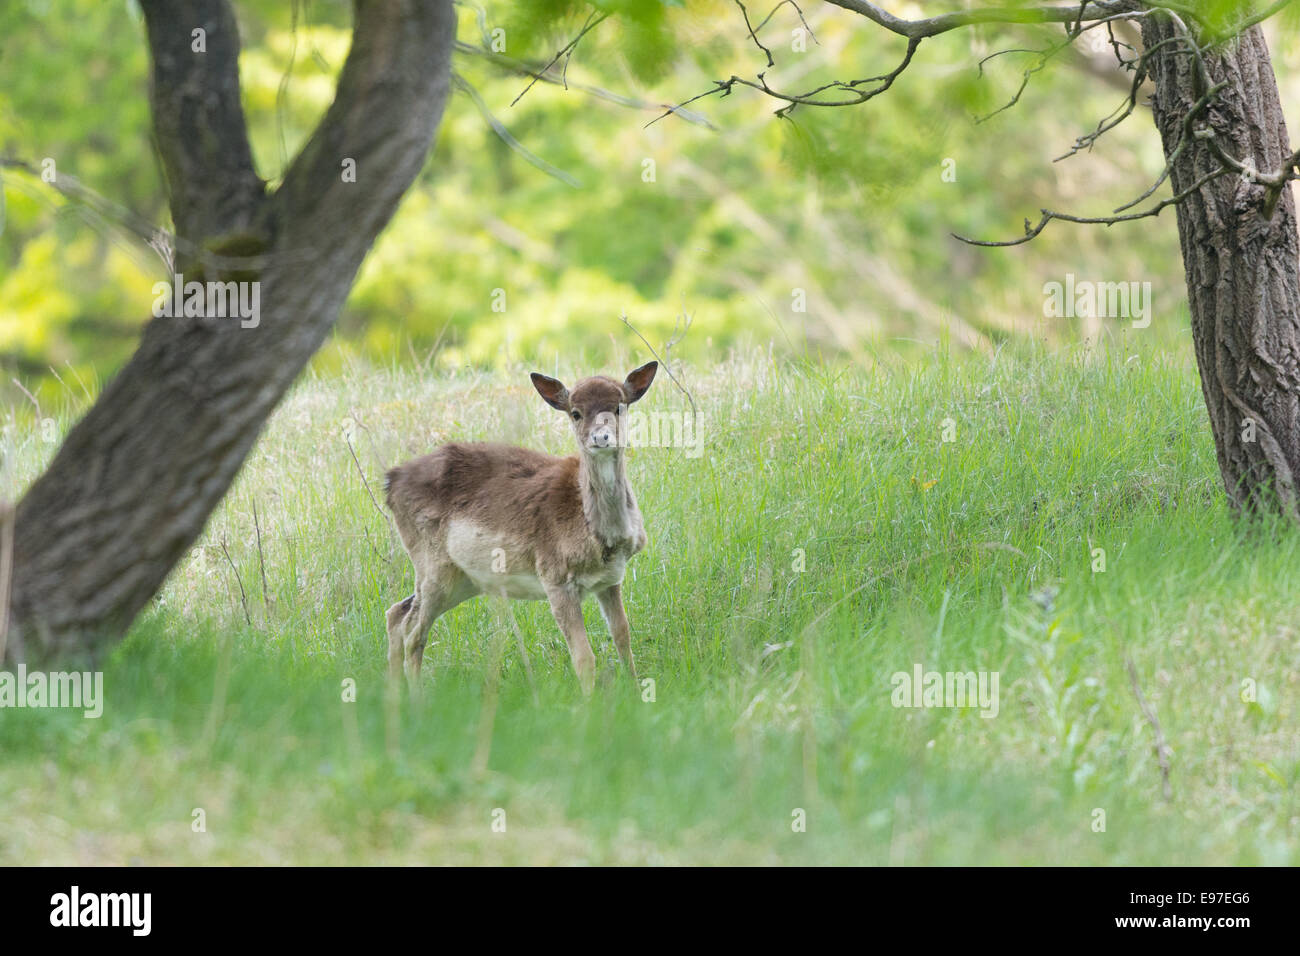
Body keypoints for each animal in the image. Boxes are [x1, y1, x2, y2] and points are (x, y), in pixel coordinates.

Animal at [382, 361, 658, 694]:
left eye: (619, 406)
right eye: (575, 412)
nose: (601, 437)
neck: (601, 538)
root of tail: (390, 482)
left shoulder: (611, 578)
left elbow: (622, 637)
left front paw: (635, 692)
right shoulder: (555, 576)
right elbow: (584, 657)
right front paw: (588, 702)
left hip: (464, 579)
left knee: (396, 613)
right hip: (432, 561)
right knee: (413, 632)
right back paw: (417, 698)